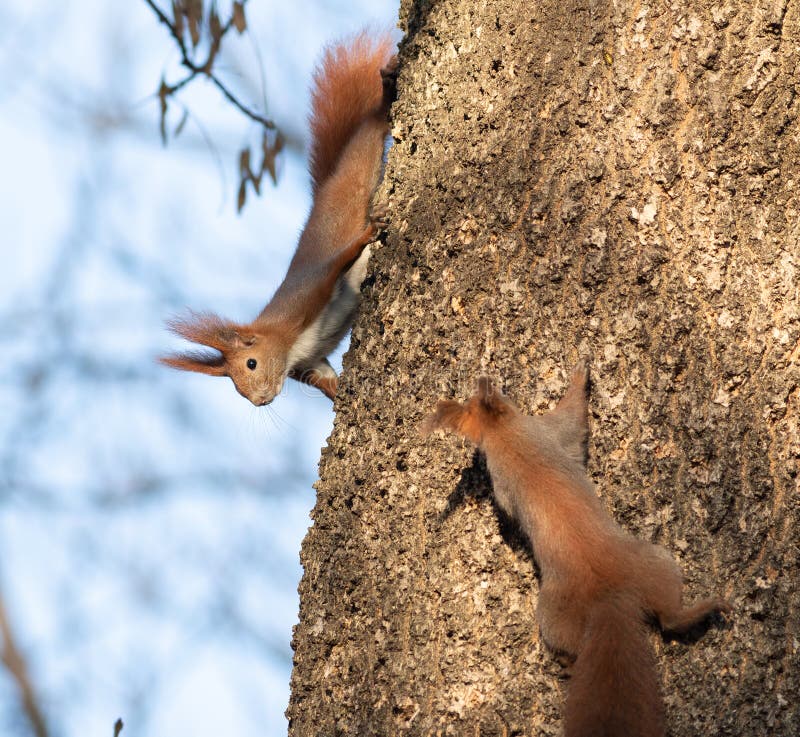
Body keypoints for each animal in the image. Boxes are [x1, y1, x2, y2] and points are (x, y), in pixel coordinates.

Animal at [160, 33, 397, 405]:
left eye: (252, 363)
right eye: (235, 386)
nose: (259, 400)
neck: (285, 342)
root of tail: (323, 192)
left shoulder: (310, 290)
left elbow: (340, 259)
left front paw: (369, 233)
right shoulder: (312, 363)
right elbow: (328, 381)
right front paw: (340, 397)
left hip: (356, 172)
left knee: (367, 134)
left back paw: (385, 96)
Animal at [424, 360, 731, 737]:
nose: (496, 384)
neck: (504, 431)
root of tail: (609, 598)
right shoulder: (547, 434)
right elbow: (572, 421)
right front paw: (580, 377)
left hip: (622, 586)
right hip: (637, 573)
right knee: (658, 622)